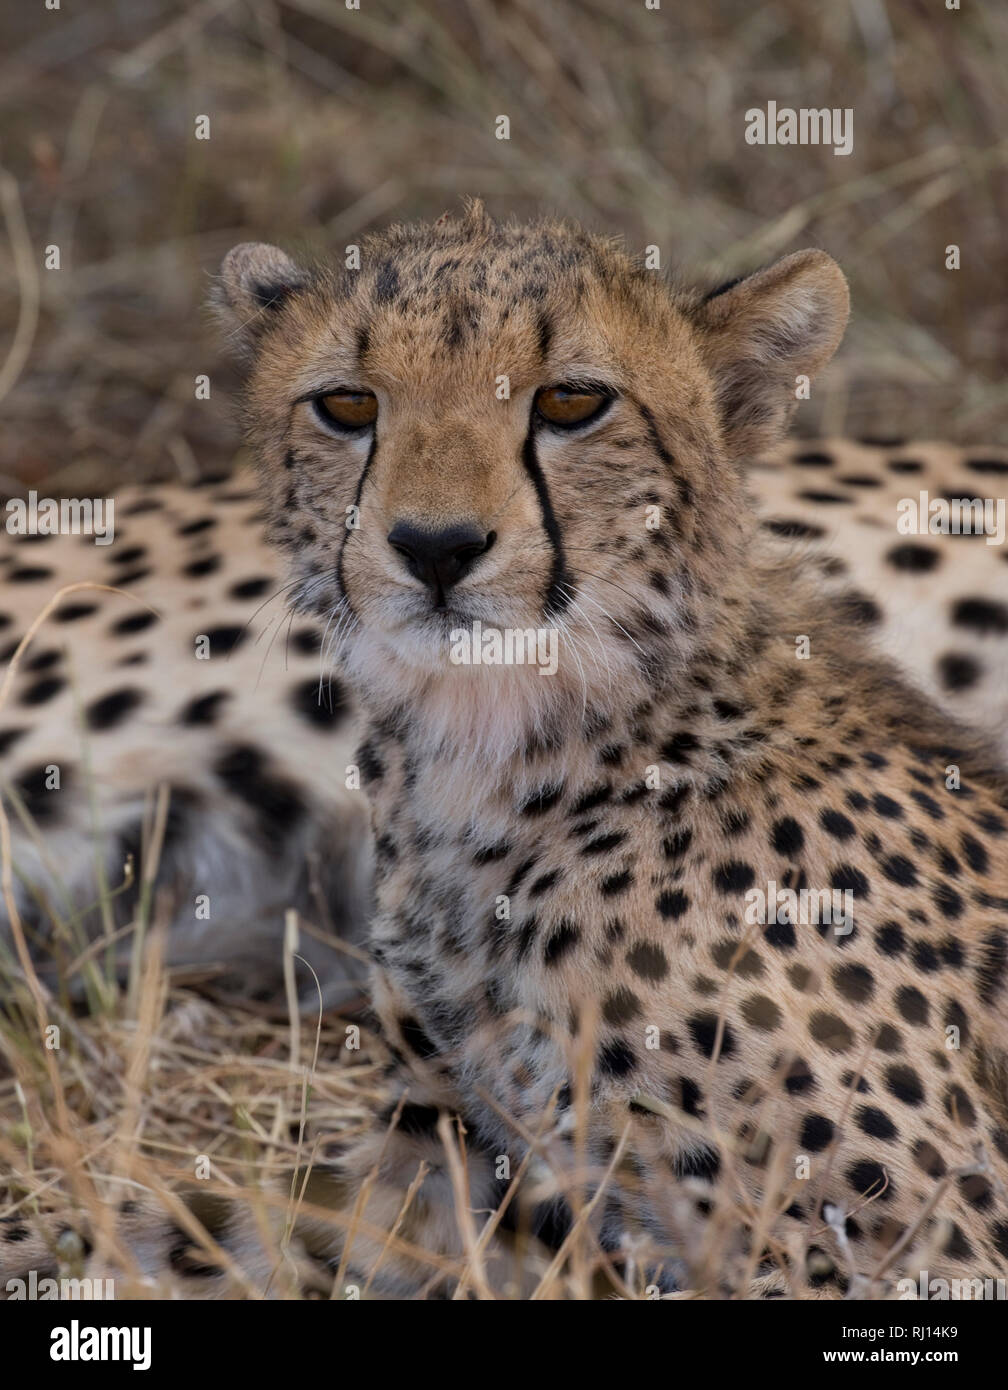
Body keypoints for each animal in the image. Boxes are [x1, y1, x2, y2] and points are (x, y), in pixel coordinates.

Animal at [2, 201, 1007, 1299]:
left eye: (572, 400)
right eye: (347, 405)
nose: (436, 546)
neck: (492, 753)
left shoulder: (917, 1235)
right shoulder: (456, 1172)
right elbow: (185, 1229)